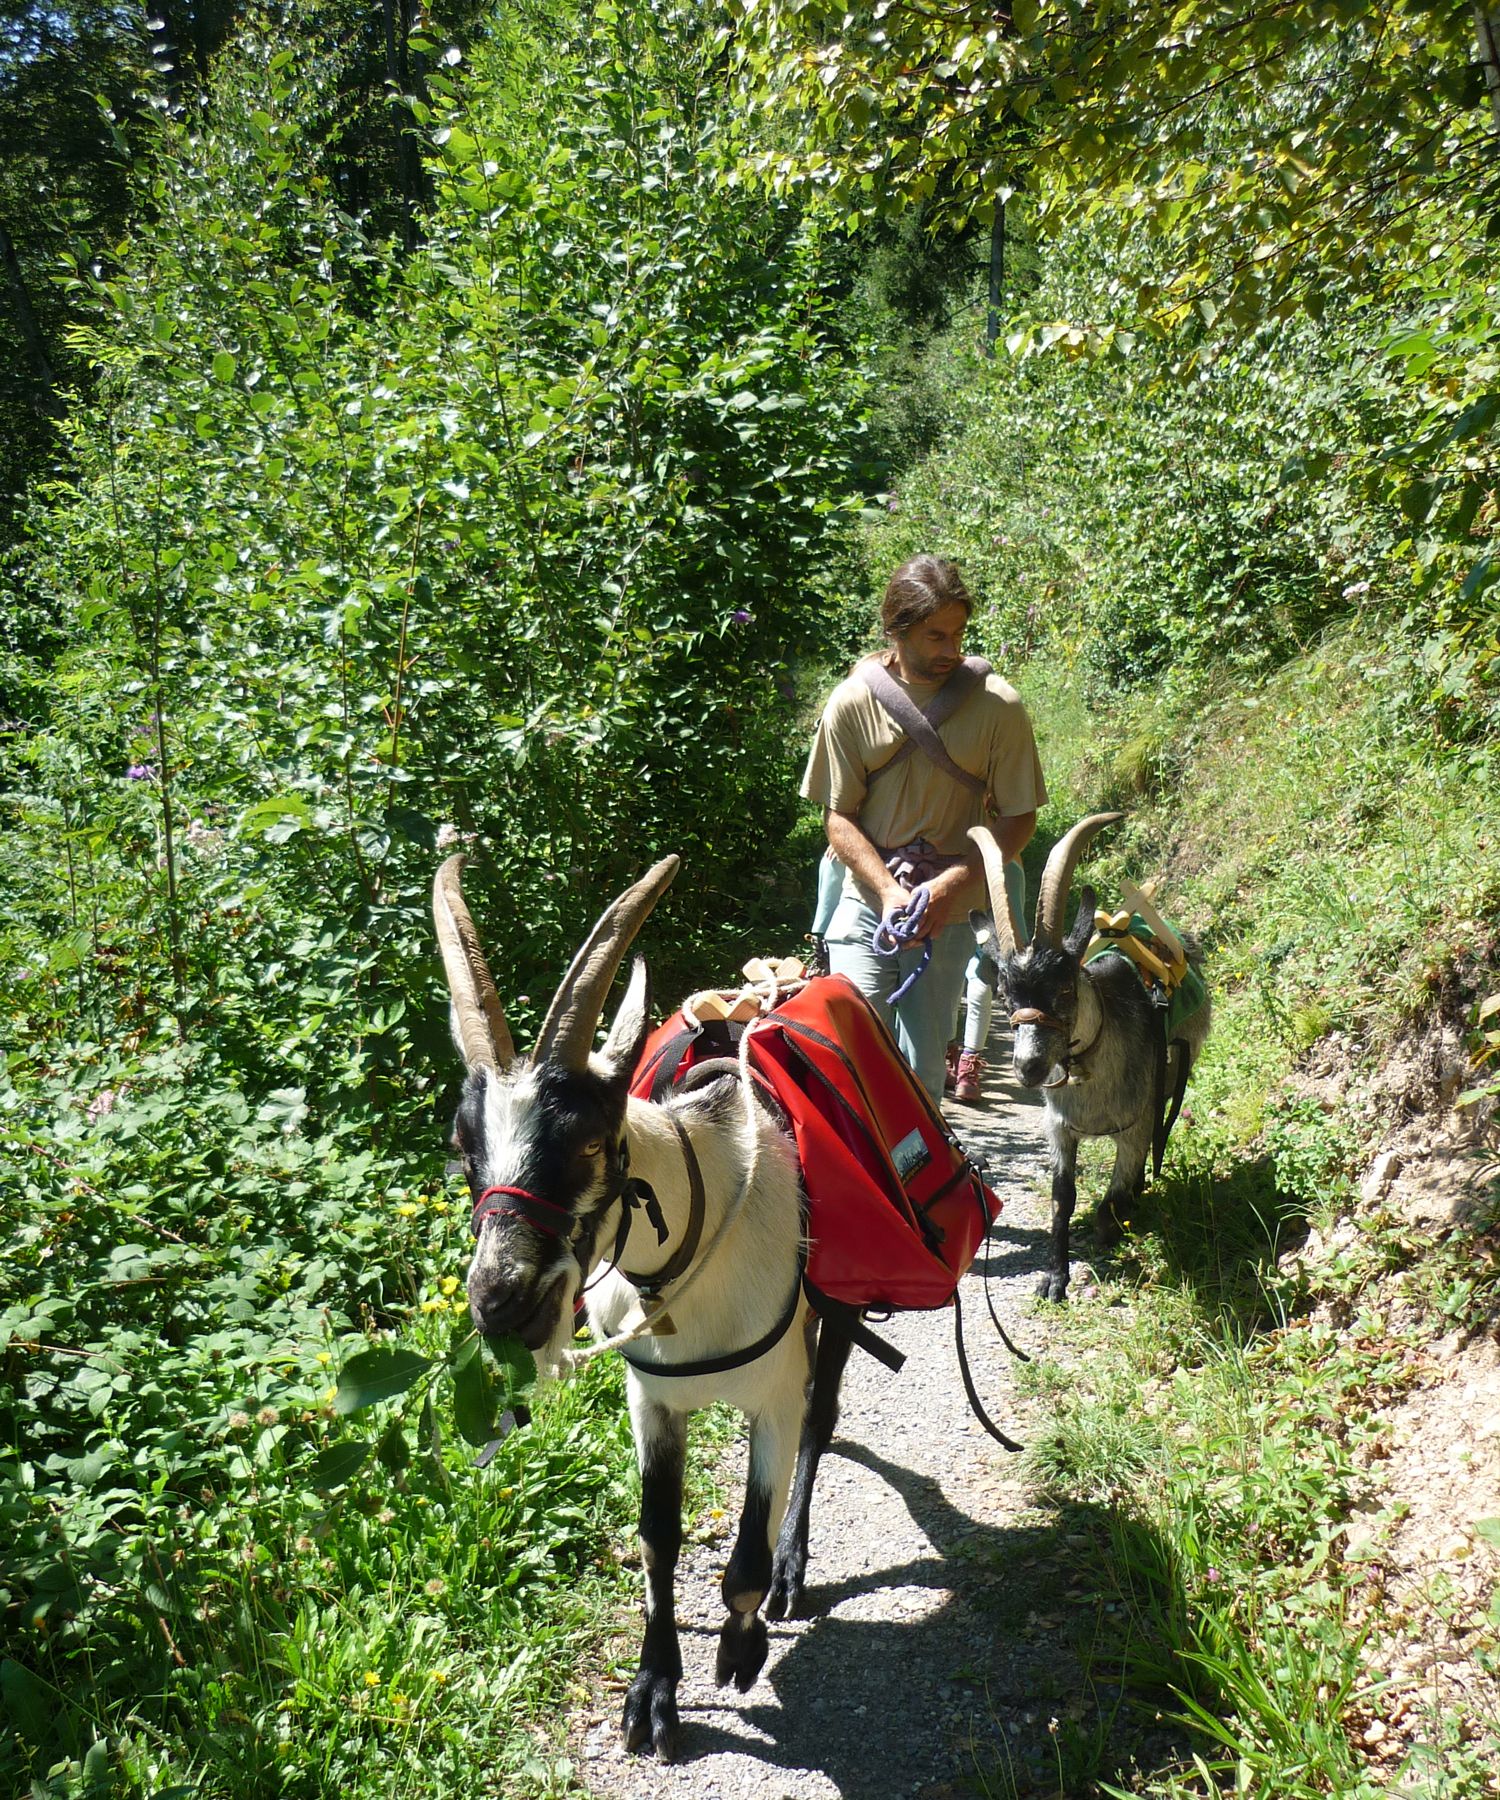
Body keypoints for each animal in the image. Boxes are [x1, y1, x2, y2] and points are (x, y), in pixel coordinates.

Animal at [432, 854, 854, 1761]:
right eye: (462, 1146)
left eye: (590, 1140)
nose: (500, 1301)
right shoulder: (651, 1398)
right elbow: (658, 1535)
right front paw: (653, 1692)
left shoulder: (770, 1393)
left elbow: (746, 1550)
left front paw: (741, 1649)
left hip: (838, 1306)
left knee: (822, 1414)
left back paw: (793, 1571)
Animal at [968, 815, 1212, 1303]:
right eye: (1004, 995)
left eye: (1064, 987)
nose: (1028, 1067)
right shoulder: (1060, 1128)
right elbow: (1062, 1199)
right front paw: (1054, 1278)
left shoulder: (1135, 1125)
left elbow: (1108, 1205)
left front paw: (1113, 1230)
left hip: (1173, 1075)